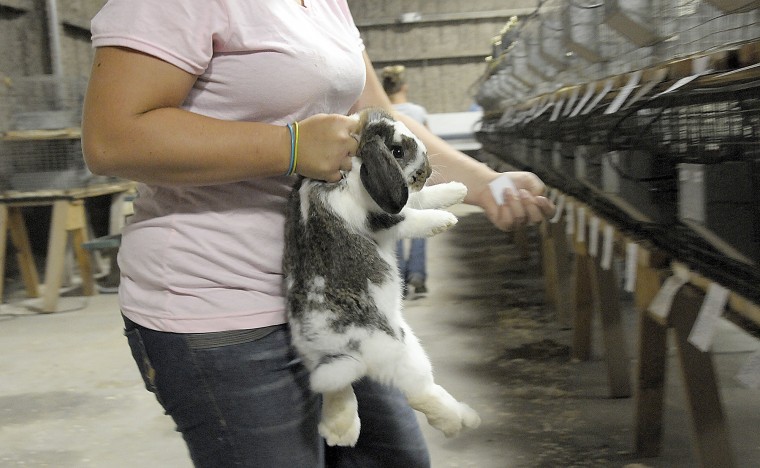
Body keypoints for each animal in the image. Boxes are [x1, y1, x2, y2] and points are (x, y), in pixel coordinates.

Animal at [283, 107, 481, 447]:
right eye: (397, 151)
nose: (426, 172)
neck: (353, 167)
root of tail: (339, 350)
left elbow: (421, 198)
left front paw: (457, 190)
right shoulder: (386, 217)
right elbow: (412, 217)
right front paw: (445, 220)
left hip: (329, 367)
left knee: (335, 391)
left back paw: (340, 433)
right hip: (402, 351)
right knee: (422, 392)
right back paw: (463, 419)